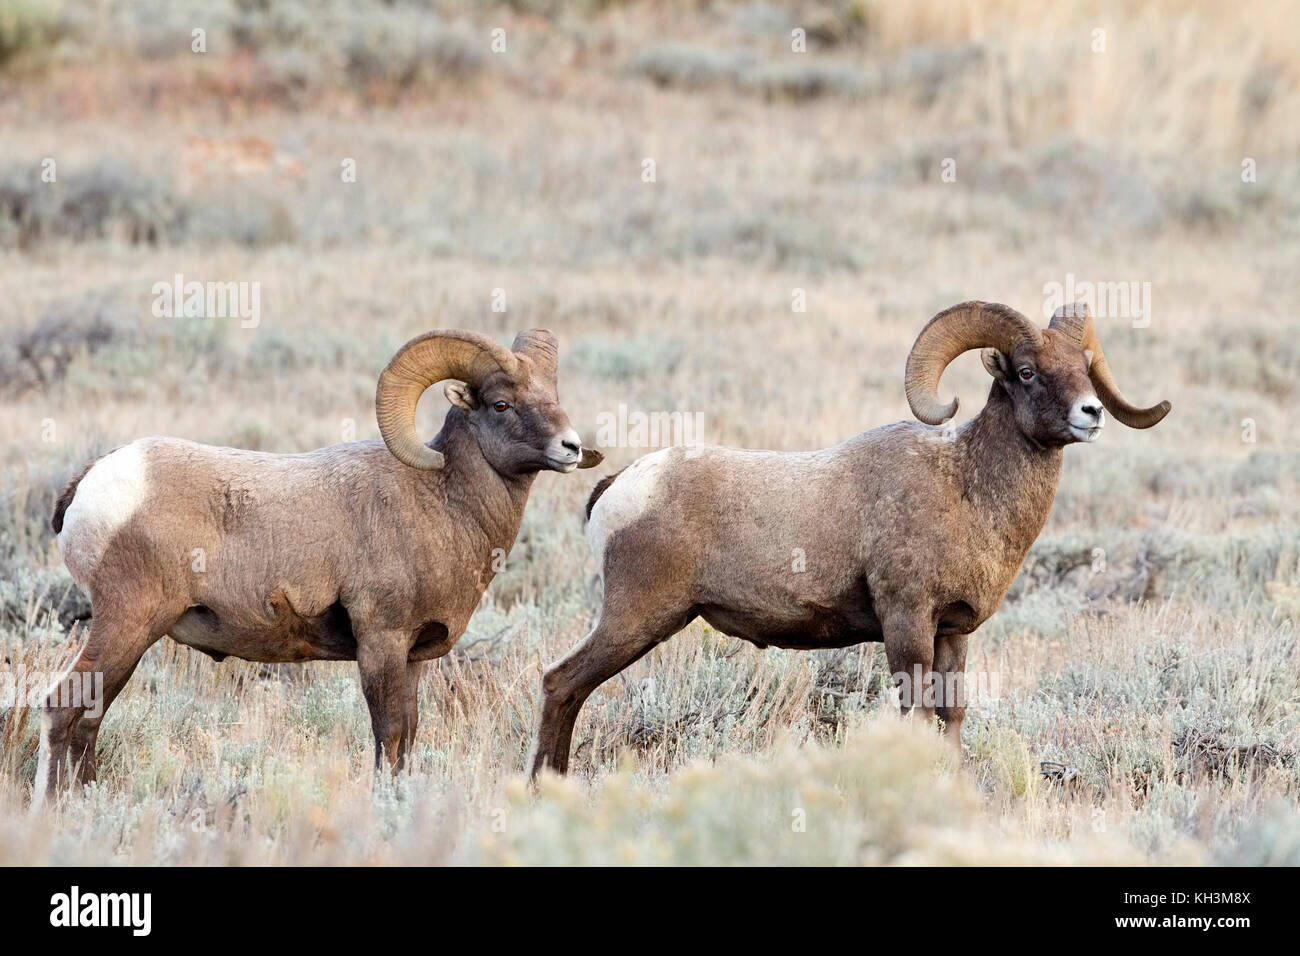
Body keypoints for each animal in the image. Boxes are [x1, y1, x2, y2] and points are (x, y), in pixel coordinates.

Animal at [39, 328, 601, 802]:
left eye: (552, 396)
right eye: (502, 403)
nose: (571, 447)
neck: (441, 500)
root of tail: (92, 481)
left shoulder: (414, 658)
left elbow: (409, 735)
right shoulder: (380, 642)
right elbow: (388, 734)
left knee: (88, 716)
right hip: (127, 624)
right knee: (67, 709)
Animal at [529, 301, 1170, 776]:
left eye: (1084, 365)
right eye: (1029, 371)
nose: (1091, 413)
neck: (965, 485)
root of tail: (618, 488)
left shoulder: (952, 634)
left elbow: (952, 715)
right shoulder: (907, 622)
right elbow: (916, 712)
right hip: (637, 618)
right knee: (562, 684)